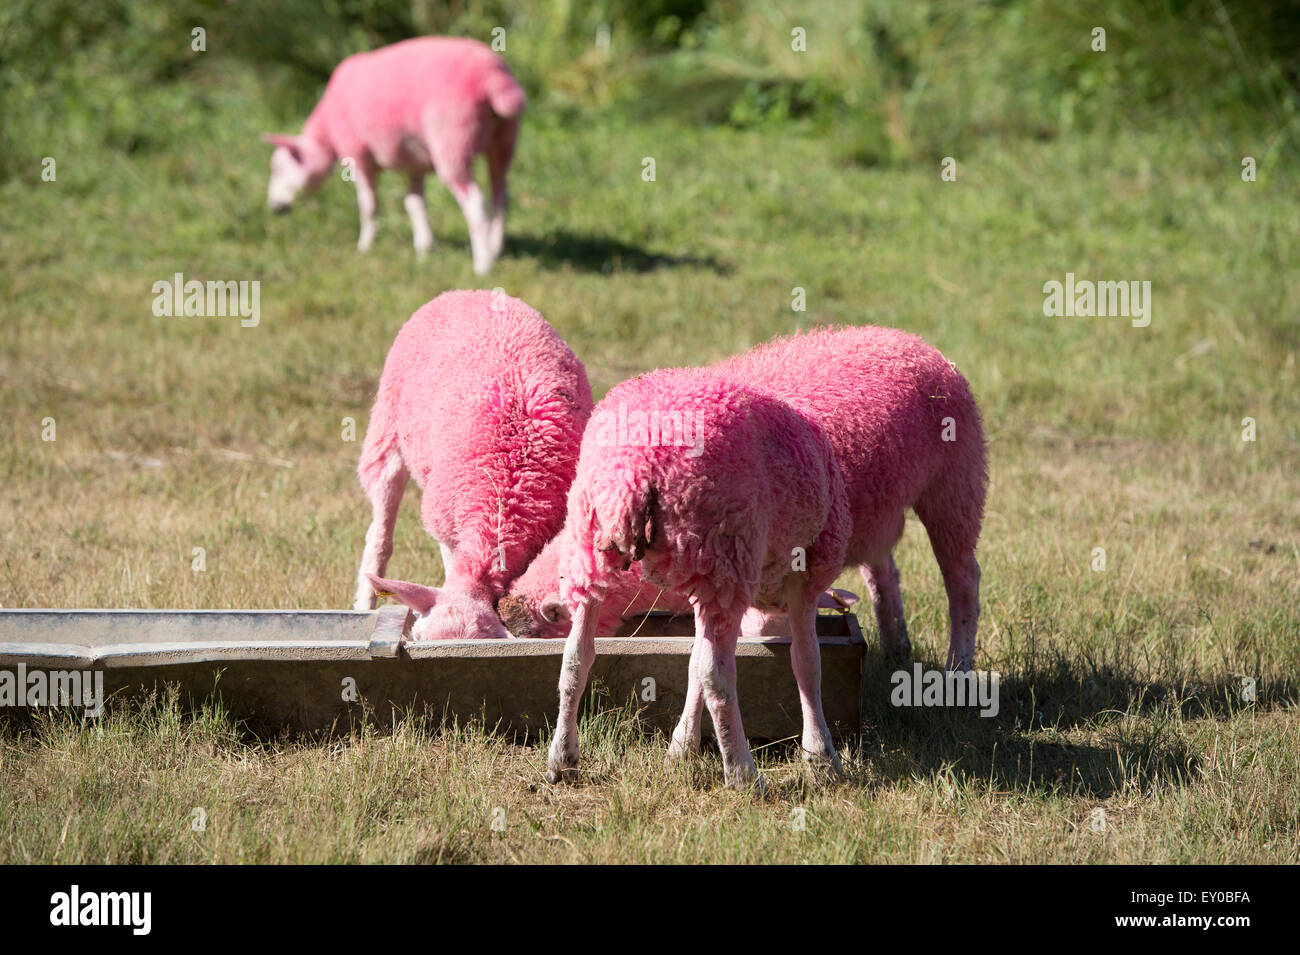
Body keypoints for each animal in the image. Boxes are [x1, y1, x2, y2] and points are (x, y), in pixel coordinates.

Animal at [261, 36, 526, 274]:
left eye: (278, 168)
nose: (273, 208)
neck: (326, 132)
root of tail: (493, 79)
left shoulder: (358, 155)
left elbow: (368, 205)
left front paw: (365, 247)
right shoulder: (416, 163)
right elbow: (414, 202)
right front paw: (425, 248)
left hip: (453, 138)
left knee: (475, 202)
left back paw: (483, 265)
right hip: (503, 140)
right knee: (501, 194)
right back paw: (495, 247)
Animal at [353, 289, 592, 640]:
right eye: (417, 638)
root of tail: (469, 291)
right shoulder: (445, 523)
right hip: (388, 428)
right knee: (380, 534)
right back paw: (364, 604)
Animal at [501, 325, 987, 671]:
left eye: (547, 627)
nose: (506, 618)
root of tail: (912, 341)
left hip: (957, 482)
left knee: (963, 577)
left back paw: (958, 665)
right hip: (871, 510)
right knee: (883, 572)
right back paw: (897, 645)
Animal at [545, 368, 851, 790]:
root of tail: (632, 469)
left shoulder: (701, 584)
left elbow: (690, 662)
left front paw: (680, 749)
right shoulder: (805, 576)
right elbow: (806, 662)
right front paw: (822, 756)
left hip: (590, 546)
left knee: (576, 658)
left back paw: (562, 759)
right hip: (727, 555)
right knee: (717, 674)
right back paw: (742, 773)